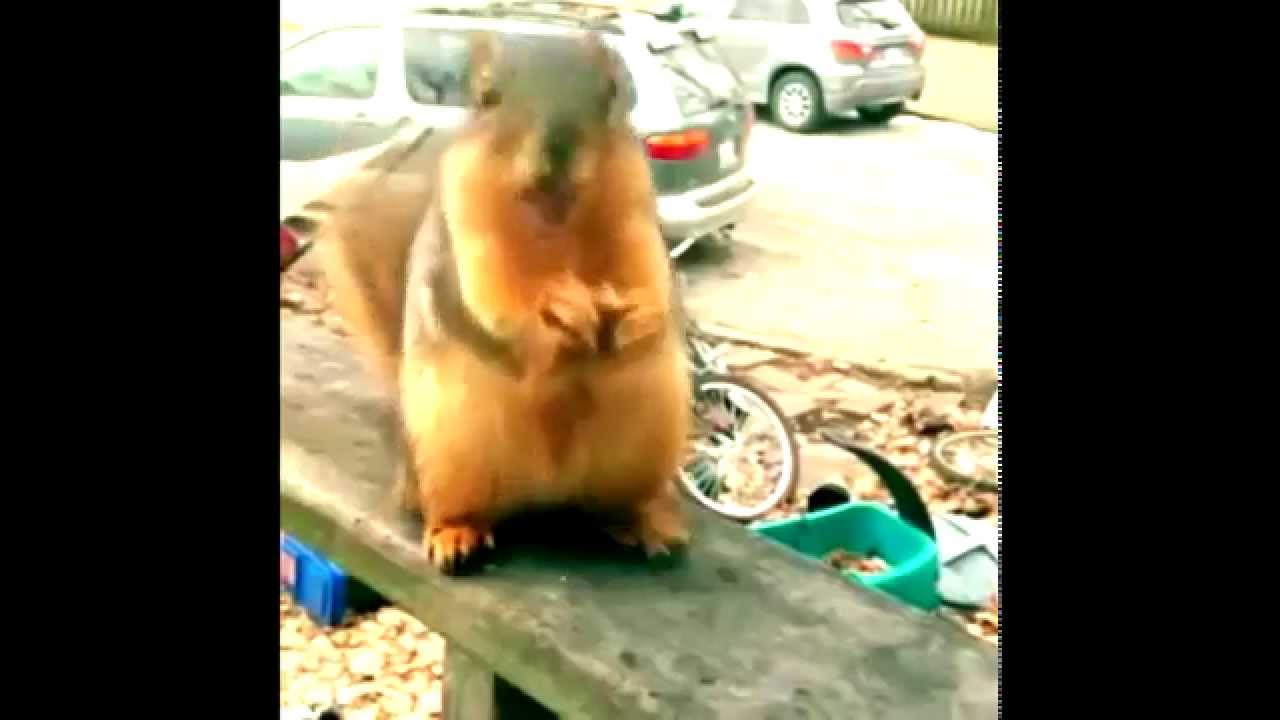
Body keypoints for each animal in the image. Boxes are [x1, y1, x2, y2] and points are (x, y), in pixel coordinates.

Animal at [312, 30, 692, 573]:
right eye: (488, 97)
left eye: (611, 94)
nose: (558, 149)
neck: (554, 217)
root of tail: (549, 493)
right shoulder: (467, 238)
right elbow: (497, 296)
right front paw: (562, 310)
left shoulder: (637, 220)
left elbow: (648, 277)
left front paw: (641, 316)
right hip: (447, 448)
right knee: (452, 505)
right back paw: (455, 535)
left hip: (645, 447)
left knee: (614, 504)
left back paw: (647, 522)